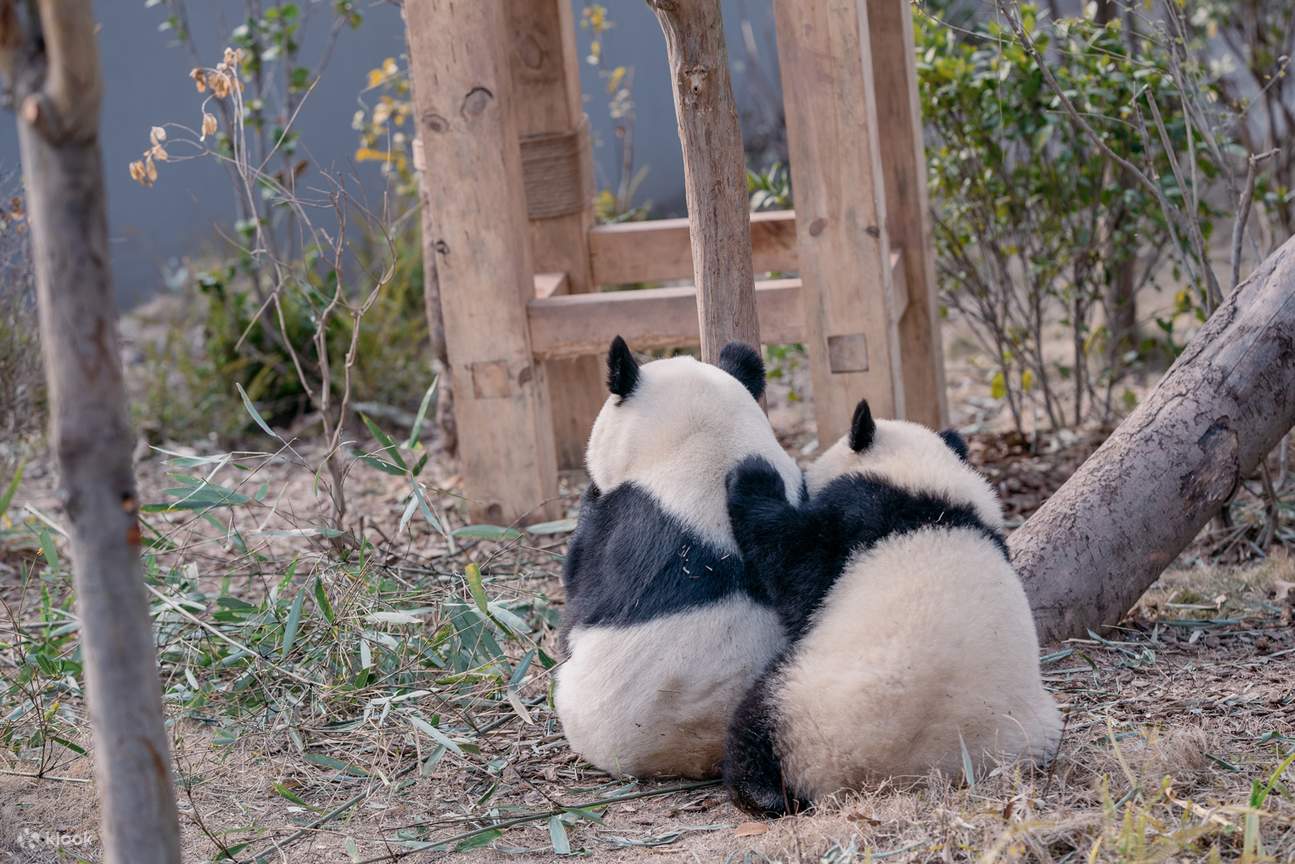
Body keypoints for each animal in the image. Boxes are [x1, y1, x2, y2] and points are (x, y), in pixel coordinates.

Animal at [721, 399, 1063, 816]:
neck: (930, 489)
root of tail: (901, 776)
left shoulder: (858, 519)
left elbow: (790, 558)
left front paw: (753, 474)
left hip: (806, 705)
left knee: (756, 725)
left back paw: (758, 790)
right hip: (1028, 731)